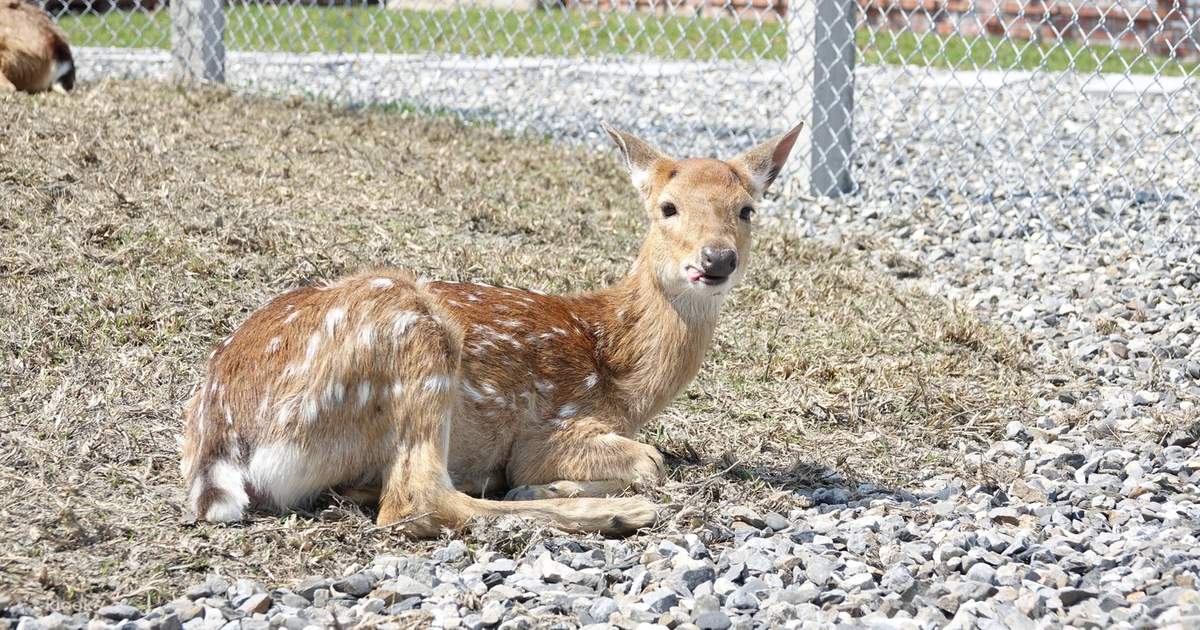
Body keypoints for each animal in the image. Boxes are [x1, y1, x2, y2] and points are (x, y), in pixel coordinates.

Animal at [180, 122, 803, 537]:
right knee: (415, 501)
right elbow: (651, 462)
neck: (620, 370)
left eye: (747, 209)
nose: (716, 259)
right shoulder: (557, 425)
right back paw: (615, 513)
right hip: (415, 338)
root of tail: (220, 445)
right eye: (668, 207)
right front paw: (550, 483)